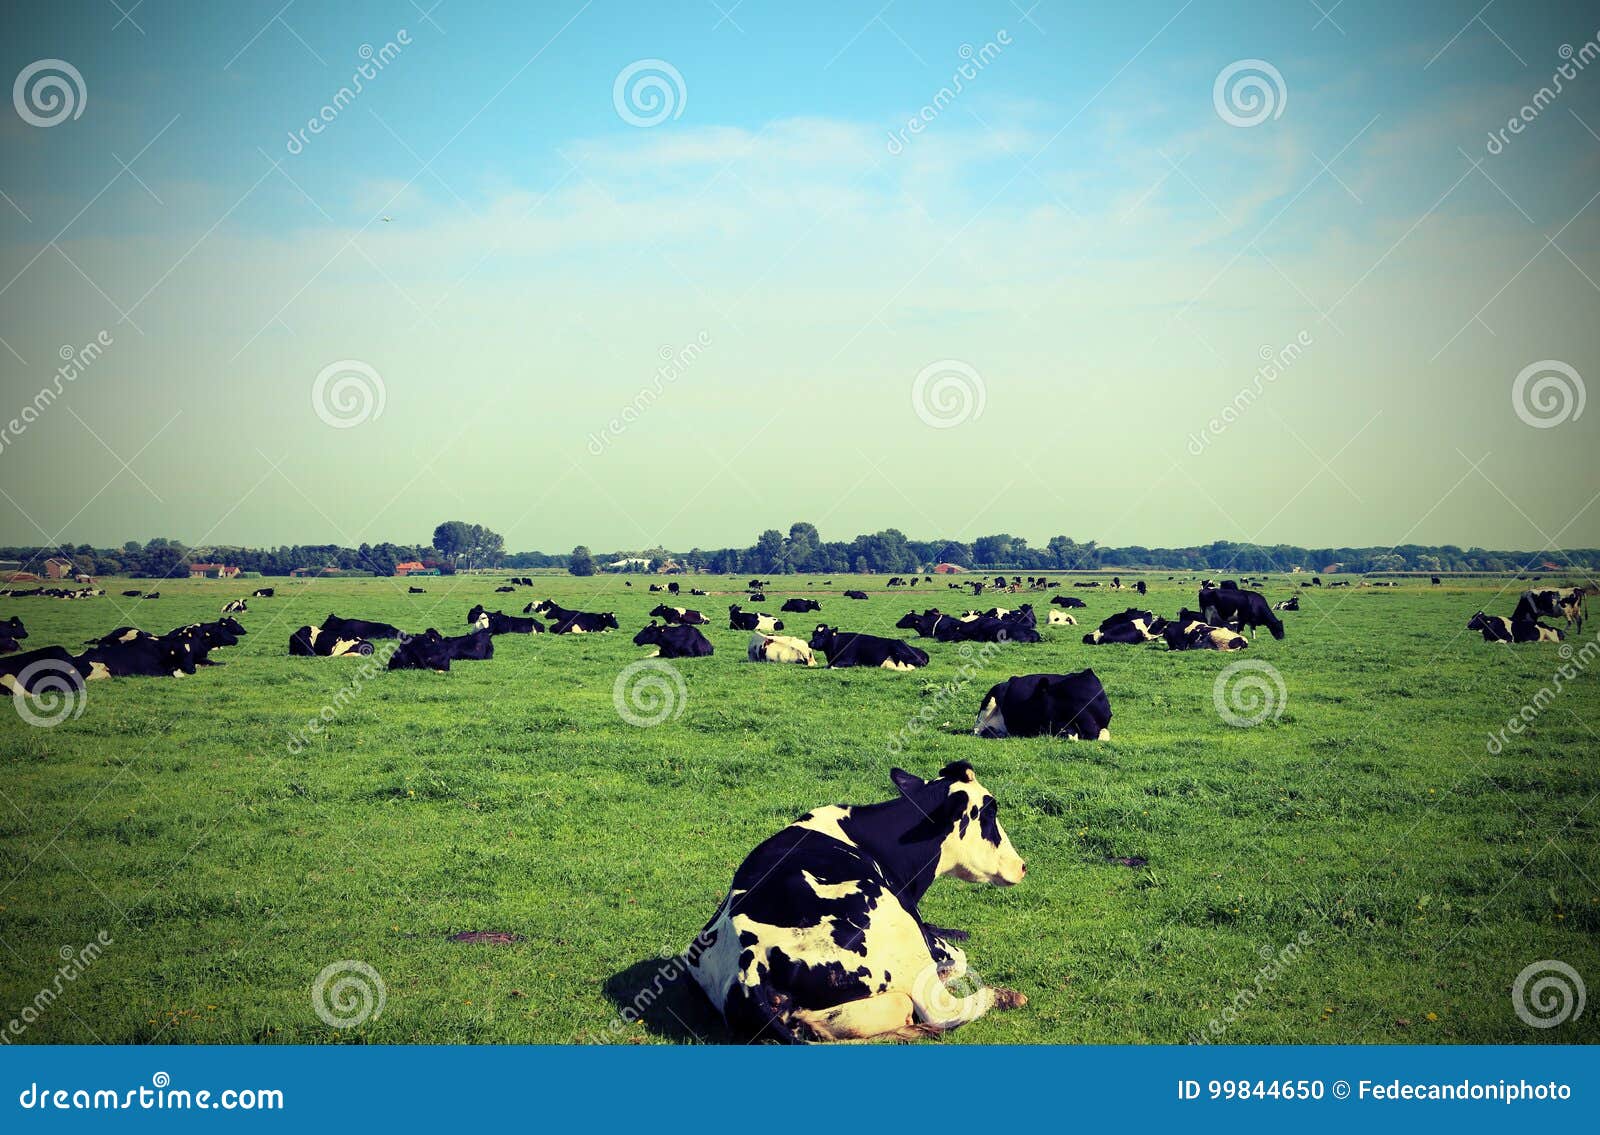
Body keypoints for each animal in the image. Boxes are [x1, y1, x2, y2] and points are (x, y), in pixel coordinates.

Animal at [684, 760, 1026, 1043]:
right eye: (990, 813)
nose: (1022, 865)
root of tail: (749, 960)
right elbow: (957, 955)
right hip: (900, 935)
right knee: (944, 1009)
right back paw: (1003, 995)